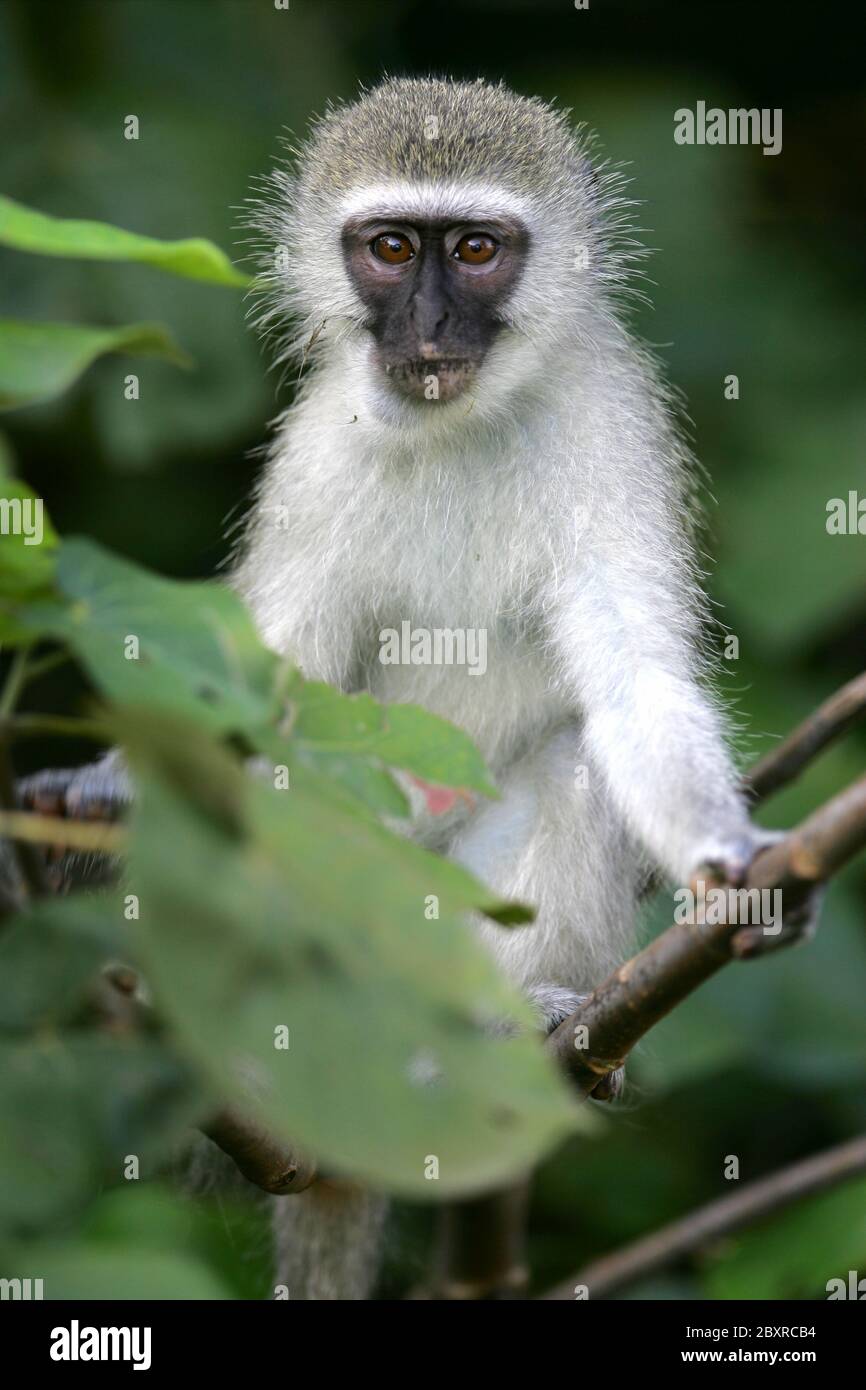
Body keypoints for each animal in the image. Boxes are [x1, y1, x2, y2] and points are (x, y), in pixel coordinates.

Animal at [11, 77, 818, 1300]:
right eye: (390, 247)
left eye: (475, 249)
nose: (427, 327)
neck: (459, 426)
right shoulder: (312, 457)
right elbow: (254, 690)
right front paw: (99, 795)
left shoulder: (609, 424)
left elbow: (633, 682)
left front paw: (733, 860)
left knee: (576, 764)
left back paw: (497, 1039)